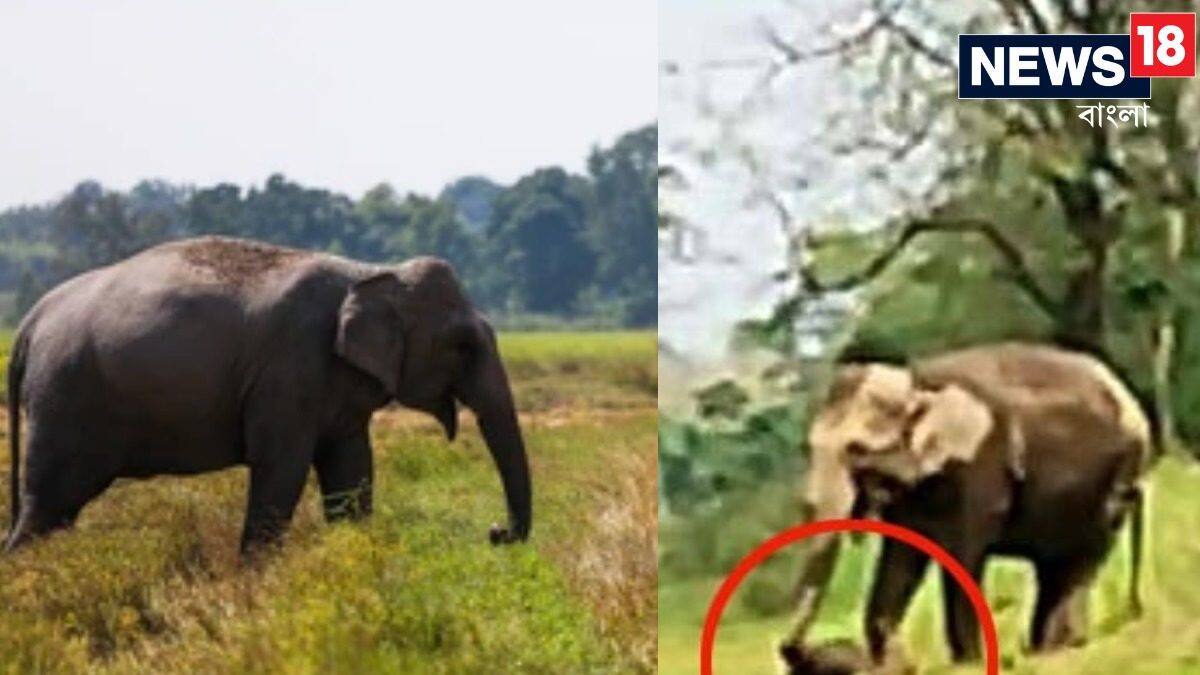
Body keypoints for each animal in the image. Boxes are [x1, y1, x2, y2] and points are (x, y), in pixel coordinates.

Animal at [4, 236, 530, 556]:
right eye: (463, 346)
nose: (496, 532)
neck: (374, 272)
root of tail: (31, 319)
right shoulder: (289, 369)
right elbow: (281, 467)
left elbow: (350, 470)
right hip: (66, 400)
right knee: (49, 504)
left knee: (54, 511)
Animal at [780, 343, 1150, 665]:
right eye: (807, 448)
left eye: (856, 450)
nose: (796, 651)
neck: (917, 383)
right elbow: (899, 562)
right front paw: (894, 665)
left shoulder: (980, 465)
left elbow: (962, 555)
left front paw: (968, 662)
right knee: (1054, 563)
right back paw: (1043, 649)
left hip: (1117, 479)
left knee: (1083, 556)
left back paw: (1061, 647)